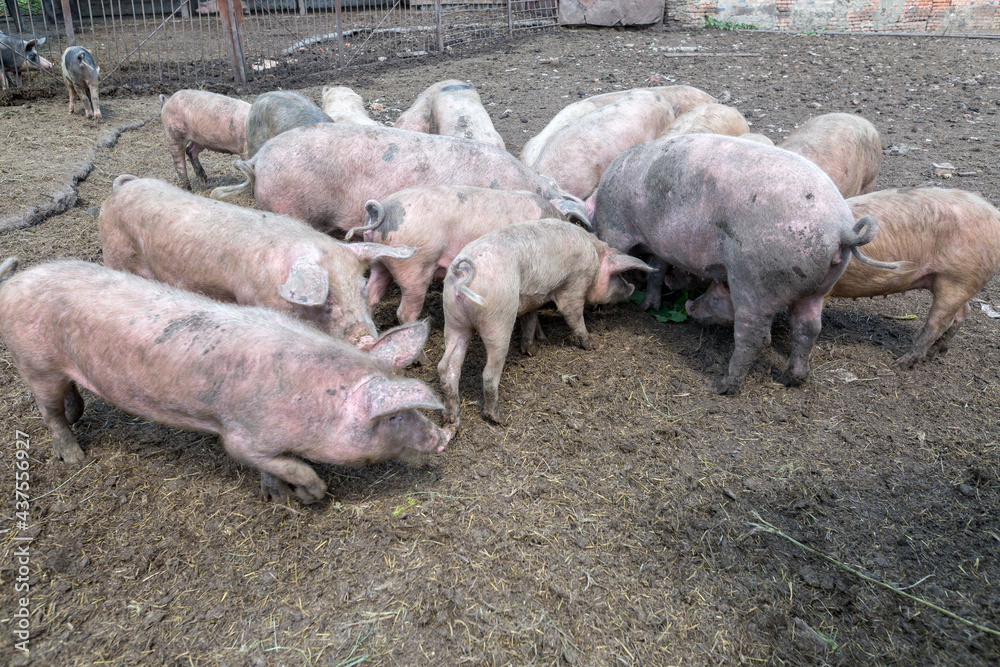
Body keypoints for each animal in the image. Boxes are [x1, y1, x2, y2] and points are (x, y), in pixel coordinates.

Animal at [0, 258, 450, 504]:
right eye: (393, 417)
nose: (443, 437)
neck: (311, 399)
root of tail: (13, 284)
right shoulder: (241, 437)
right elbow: (293, 467)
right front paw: (309, 496)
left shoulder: (266, 443)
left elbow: (274, 468)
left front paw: (276, 496)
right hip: (34, 362)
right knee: (49, 413)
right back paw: (75, 457)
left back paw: (78, 417)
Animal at [436, 219, 652, 428]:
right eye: (618, 275)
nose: (632, 287)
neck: (596, 256)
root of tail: (462, 274)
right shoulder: (576, 281)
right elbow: (571, 312)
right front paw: (592, 345)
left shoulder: (531, 298)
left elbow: (530, 319)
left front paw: (531, 351)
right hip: (498, 319)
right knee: (489, 373)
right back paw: (498, 418)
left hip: (454, 320)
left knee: (446, 367)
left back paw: (450, 418)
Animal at [591, 133, 904, 394]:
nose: (688, 305)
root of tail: (842, 230)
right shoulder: (659, 245)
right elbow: (656, 270)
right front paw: (650, 307)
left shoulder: (614, 226)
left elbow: (624, 257)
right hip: (818, 288)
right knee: (809, 329)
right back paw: (790, 379)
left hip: (754, 281)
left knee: (753, 336)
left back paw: (722, 386)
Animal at [829, 187, 1000, 367]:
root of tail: (995, 213)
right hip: (957, 281)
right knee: (963, 312)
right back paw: (935, 354)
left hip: (957, 278)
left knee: (938, 323)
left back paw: (901, 363)